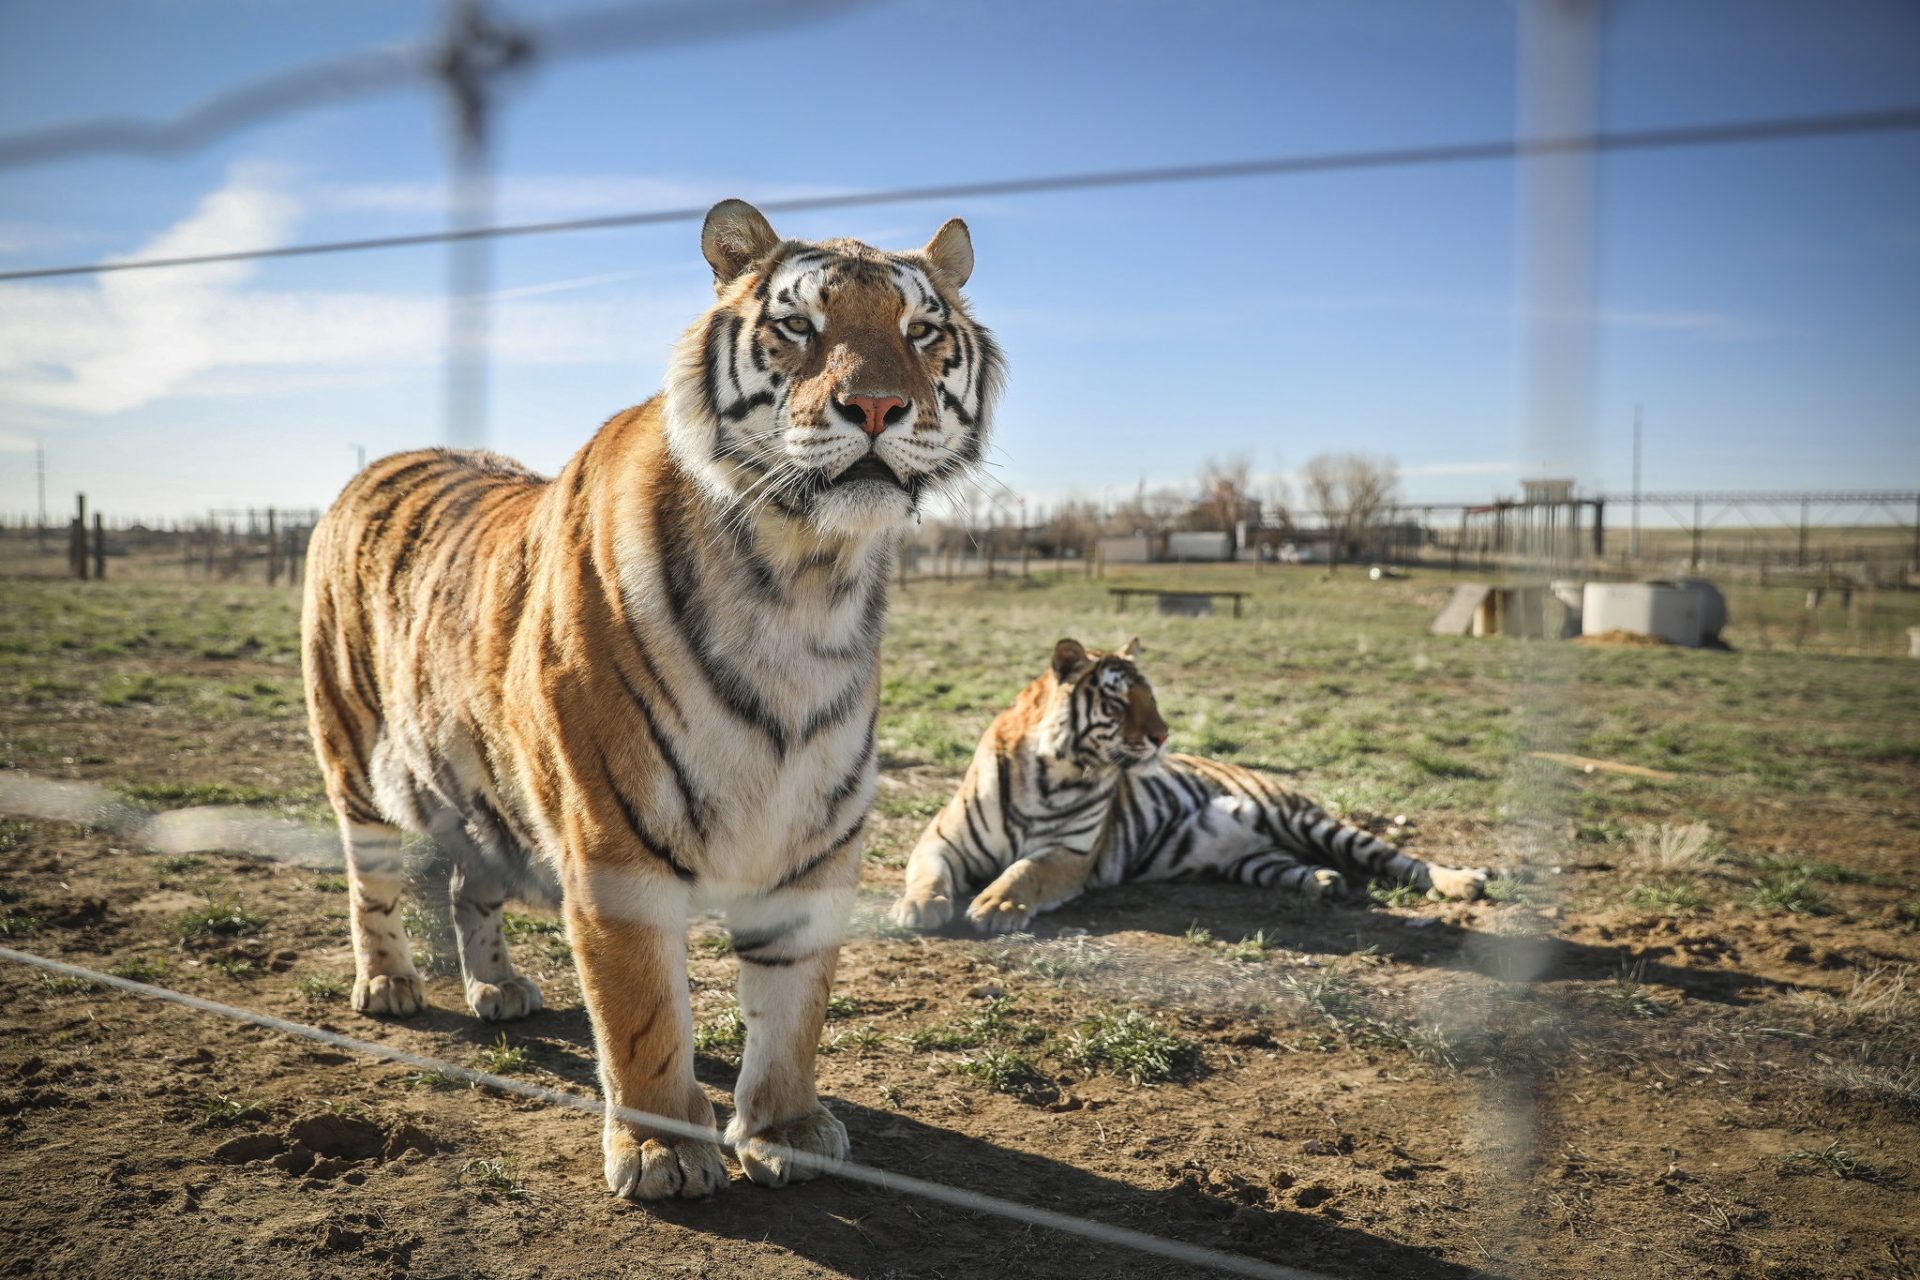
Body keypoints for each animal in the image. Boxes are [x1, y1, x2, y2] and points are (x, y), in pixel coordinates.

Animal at [302, 199, 1003, 1202]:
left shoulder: (817, 840)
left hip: (484, 788)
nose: (875, 407)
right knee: (373, 881)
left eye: (922, 331)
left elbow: (794, 1007)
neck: (805, 578)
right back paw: (390, 986)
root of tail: (379, 463)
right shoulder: (613, 838)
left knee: (472, 886)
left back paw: (498, 990)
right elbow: (641, 1012)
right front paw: (663, 1149)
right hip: (352, 751)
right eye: (800, 325)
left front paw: (785, 1130)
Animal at [888, 638, 1488, 933]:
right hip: (1252, 857)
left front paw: (996, 906)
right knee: (1291, 865)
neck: (1050, 770)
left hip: (1305, 818)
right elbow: (927, 874)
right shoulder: (941, 840)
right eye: (1119, 700)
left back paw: (1462, 882)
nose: (1162, 735)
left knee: (1401, 859)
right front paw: (916, 907)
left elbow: (1023, 871)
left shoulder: (1071, 854)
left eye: (1151, 697)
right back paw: (1324, 882)